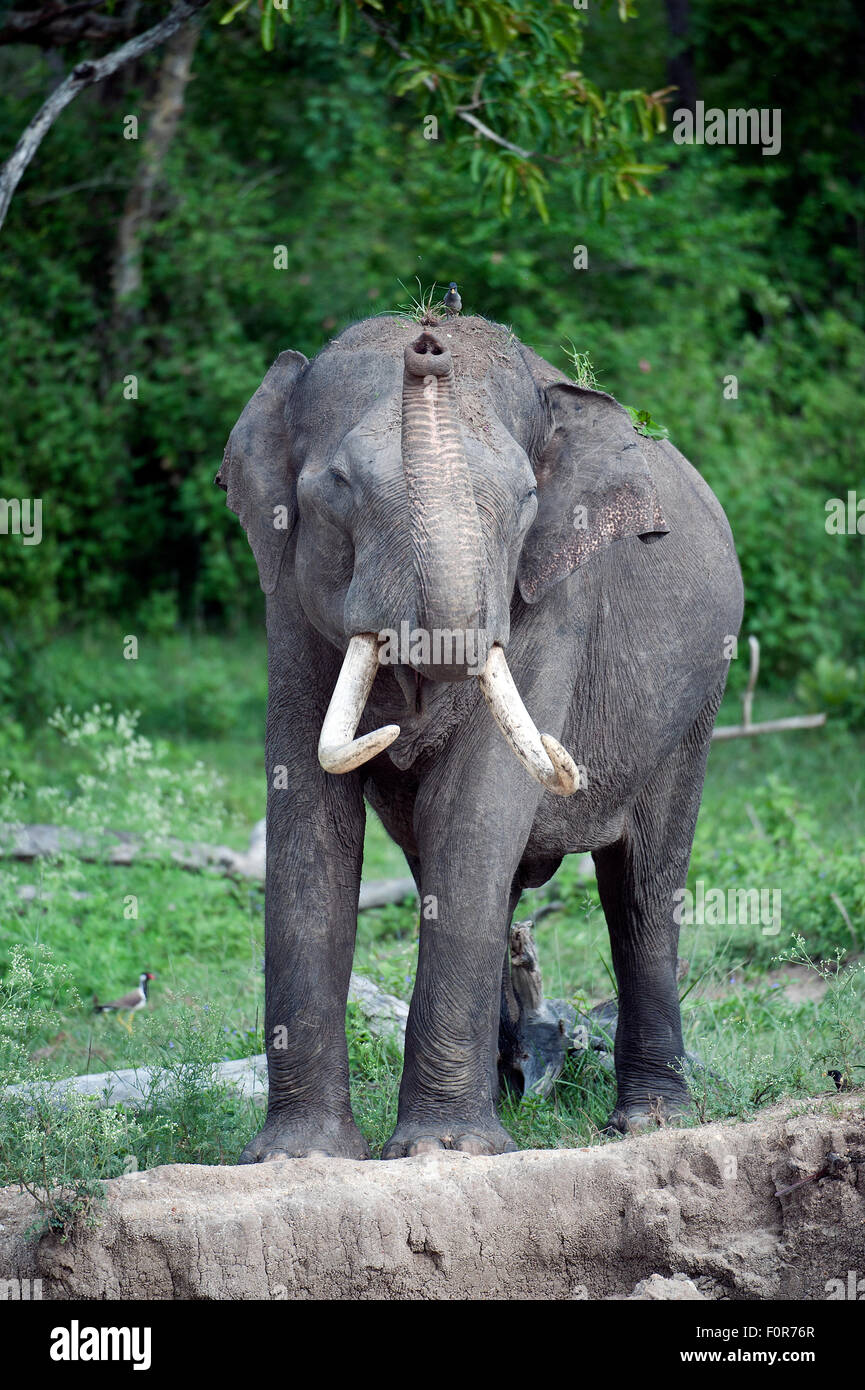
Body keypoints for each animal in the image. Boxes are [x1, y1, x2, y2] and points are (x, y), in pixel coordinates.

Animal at [216, 311, 743, 1161]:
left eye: (525, 499)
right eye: (336, 487)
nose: (427, 340)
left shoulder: (553, 594)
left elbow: (472, 808)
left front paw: (444, 1152)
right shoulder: (288, 599)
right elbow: (312, 814)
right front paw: (302, 1157)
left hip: (698, 702)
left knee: (643, 883)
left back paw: (648, 1119)